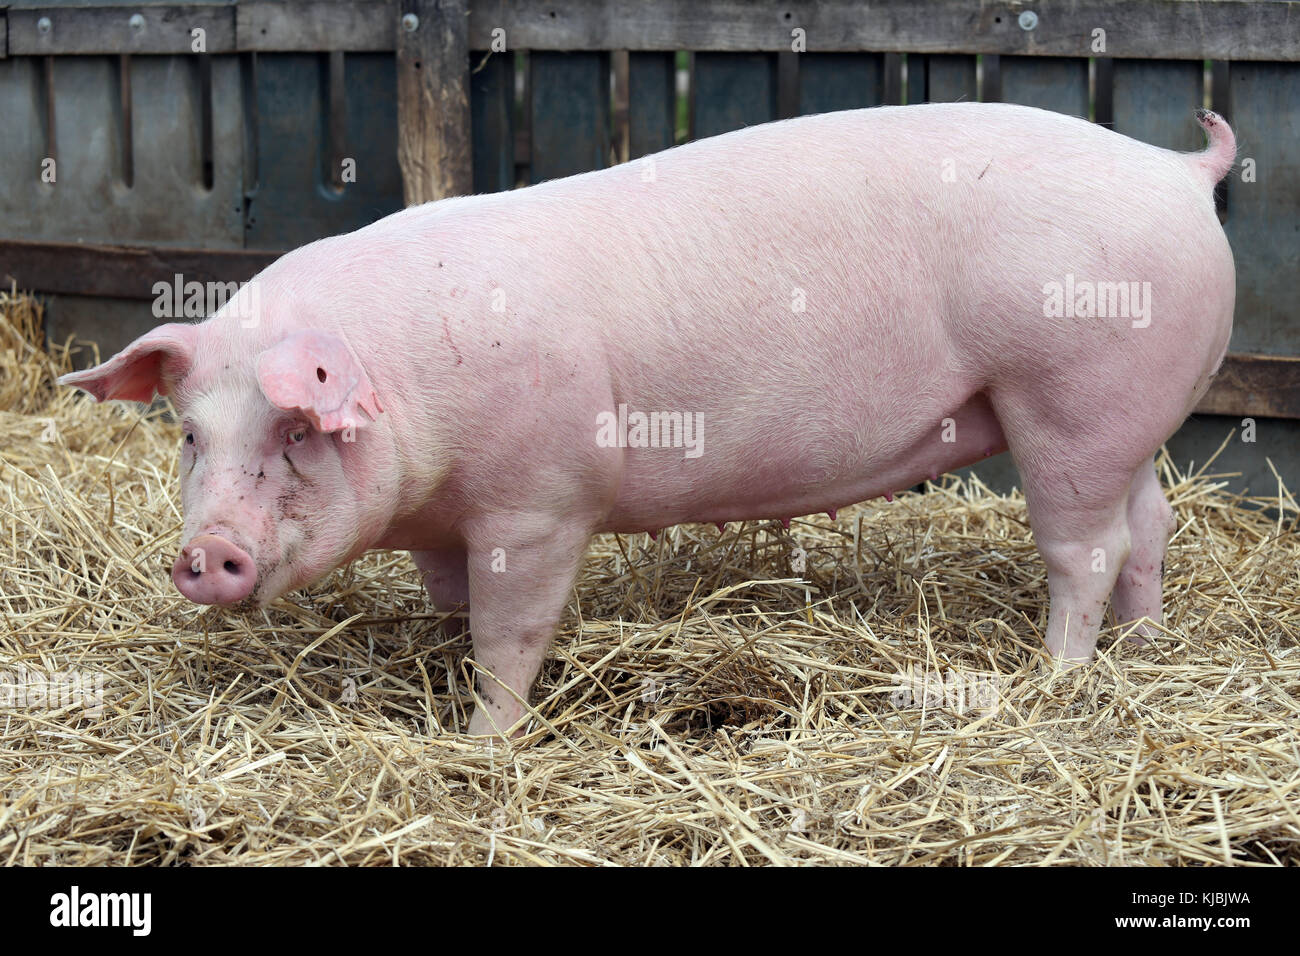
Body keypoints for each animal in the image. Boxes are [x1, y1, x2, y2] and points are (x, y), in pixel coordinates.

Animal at [60, 102, 1236, 736]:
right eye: (192, 435)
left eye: (297, 431)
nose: (205, 554)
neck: (414, 387)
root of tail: (1182, 168)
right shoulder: (446, 520)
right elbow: (449, 607)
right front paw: (439, 680)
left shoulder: (538, 505)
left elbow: (509, 631)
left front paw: (485, 737)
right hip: (1123, 413)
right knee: (1150, 526)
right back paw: (1143, 647)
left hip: (1067, 393)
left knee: (1084, 549)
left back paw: (1056, 675)